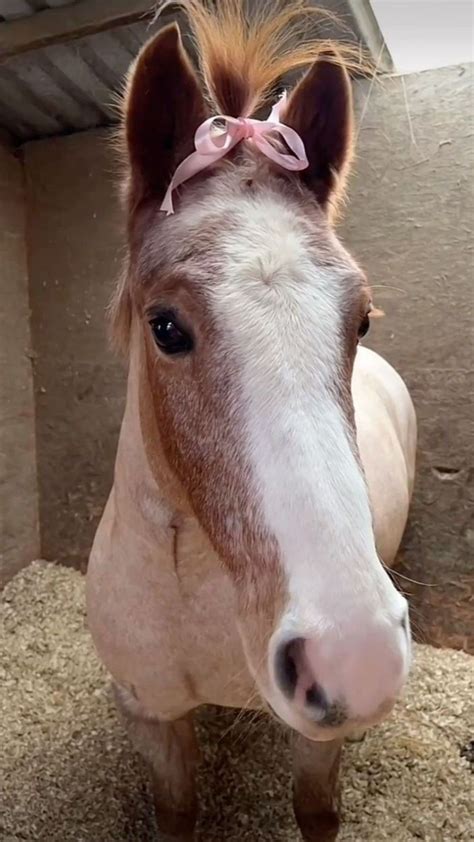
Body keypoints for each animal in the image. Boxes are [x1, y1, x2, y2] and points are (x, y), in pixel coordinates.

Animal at [86, 2, 417, 839]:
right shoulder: (150, 719)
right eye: (166, 327)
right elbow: (177, 815)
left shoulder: (318, 743)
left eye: (360, 319)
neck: (204, 599)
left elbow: (315, 812)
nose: (354, 655)